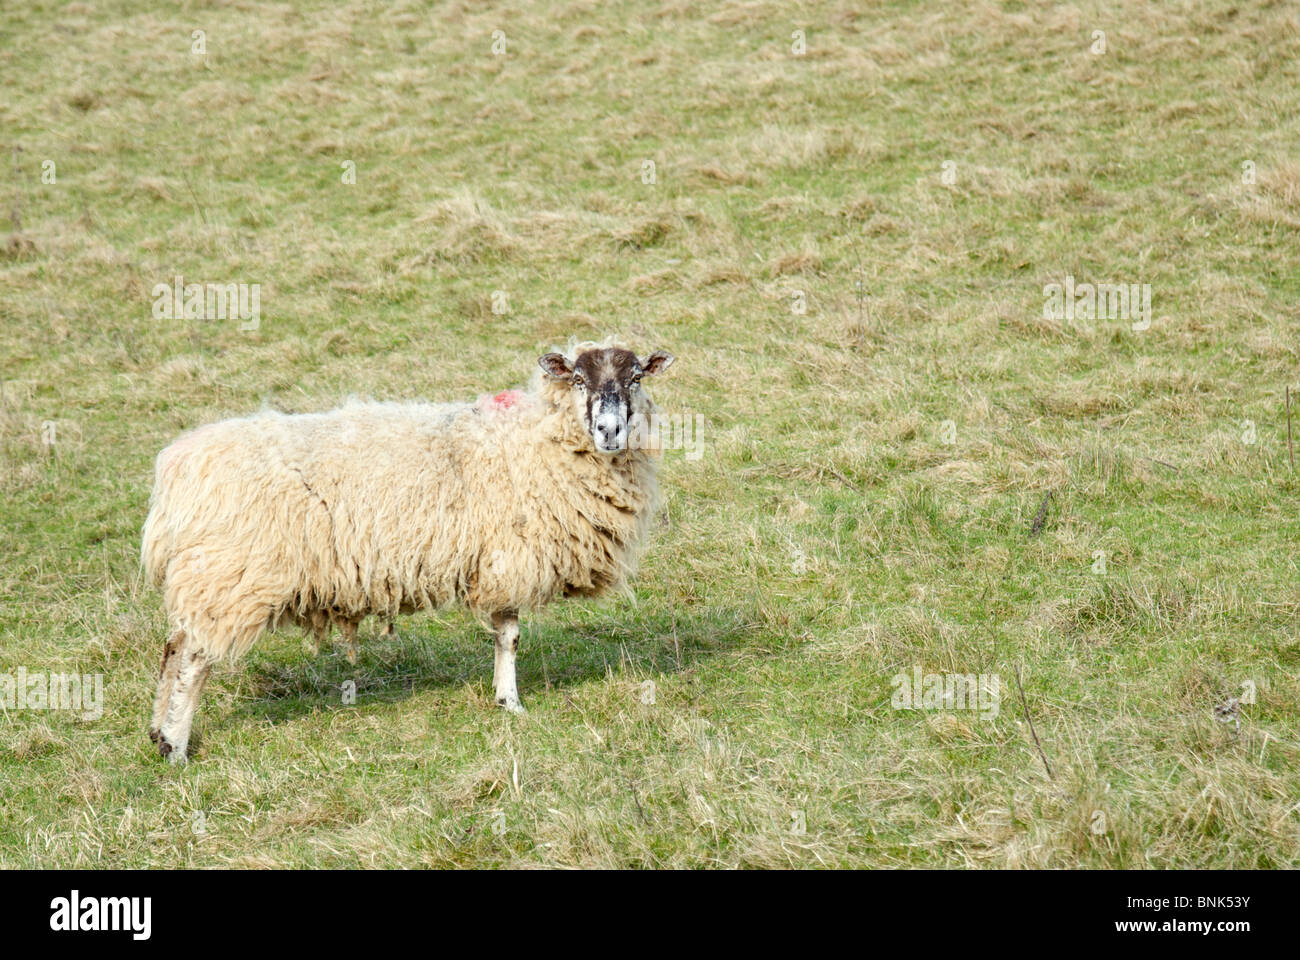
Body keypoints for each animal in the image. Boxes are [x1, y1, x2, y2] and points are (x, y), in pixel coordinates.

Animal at [141, 339, 676, 762]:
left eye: (635, 378)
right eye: (579, 381)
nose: (610, 431)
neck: (534, 441)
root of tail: (177, 469)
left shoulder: (497, 557)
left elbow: (506, 635)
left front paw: (505, 701)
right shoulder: (508, 556)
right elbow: (510, 636)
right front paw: (512, 703)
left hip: (208, 575)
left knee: (173, 647)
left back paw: (158, 734)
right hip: (231, 577)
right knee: (193, 660)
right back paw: (177, 746)